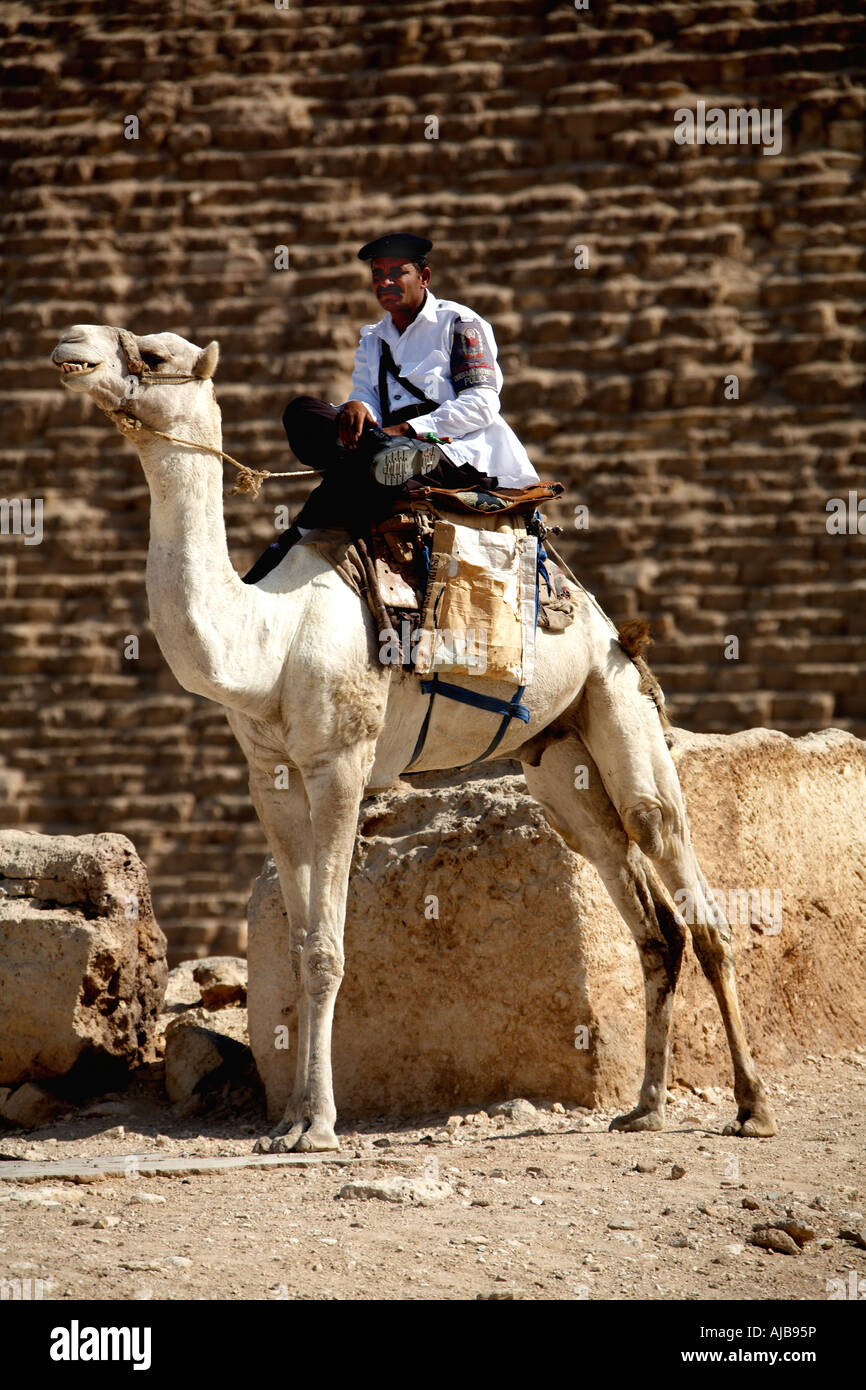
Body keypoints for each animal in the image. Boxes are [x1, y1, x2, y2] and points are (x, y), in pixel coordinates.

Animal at [49, 324, 777, 1151]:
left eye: (152, 355)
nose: (72, 343)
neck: (268, 636)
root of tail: (604, 618)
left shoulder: (341, 762)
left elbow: (328, 950)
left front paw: (316, 1126)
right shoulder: (270, 773)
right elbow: (299, 942)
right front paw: (289, 1119)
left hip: (616, 696)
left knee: (679, 868)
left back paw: (752, 1107)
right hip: (560, 758)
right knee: (645, 914)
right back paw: (646, 1106)